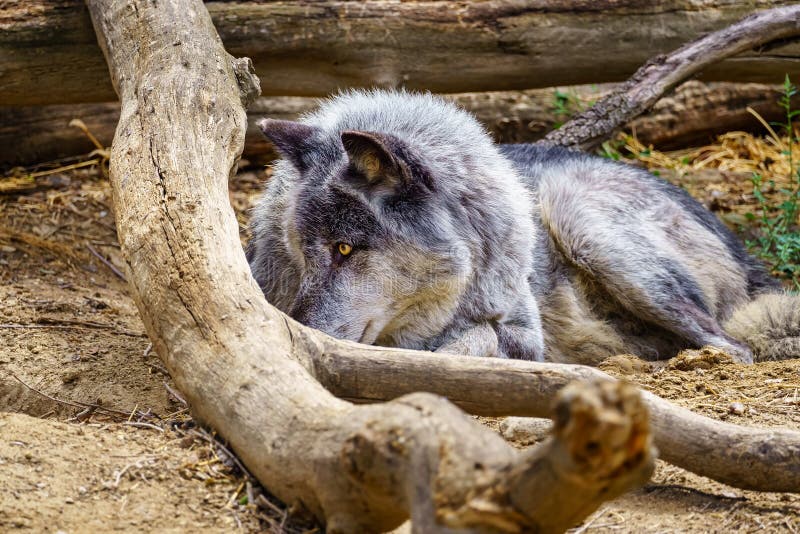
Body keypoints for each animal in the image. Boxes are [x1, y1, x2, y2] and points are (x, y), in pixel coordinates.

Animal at [246, 90, 800, 365]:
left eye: (344, 249)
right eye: (302, 255)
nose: (295, 330)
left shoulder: (522, 334)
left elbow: (472, 342)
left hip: (587, 227)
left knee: (736, 347)